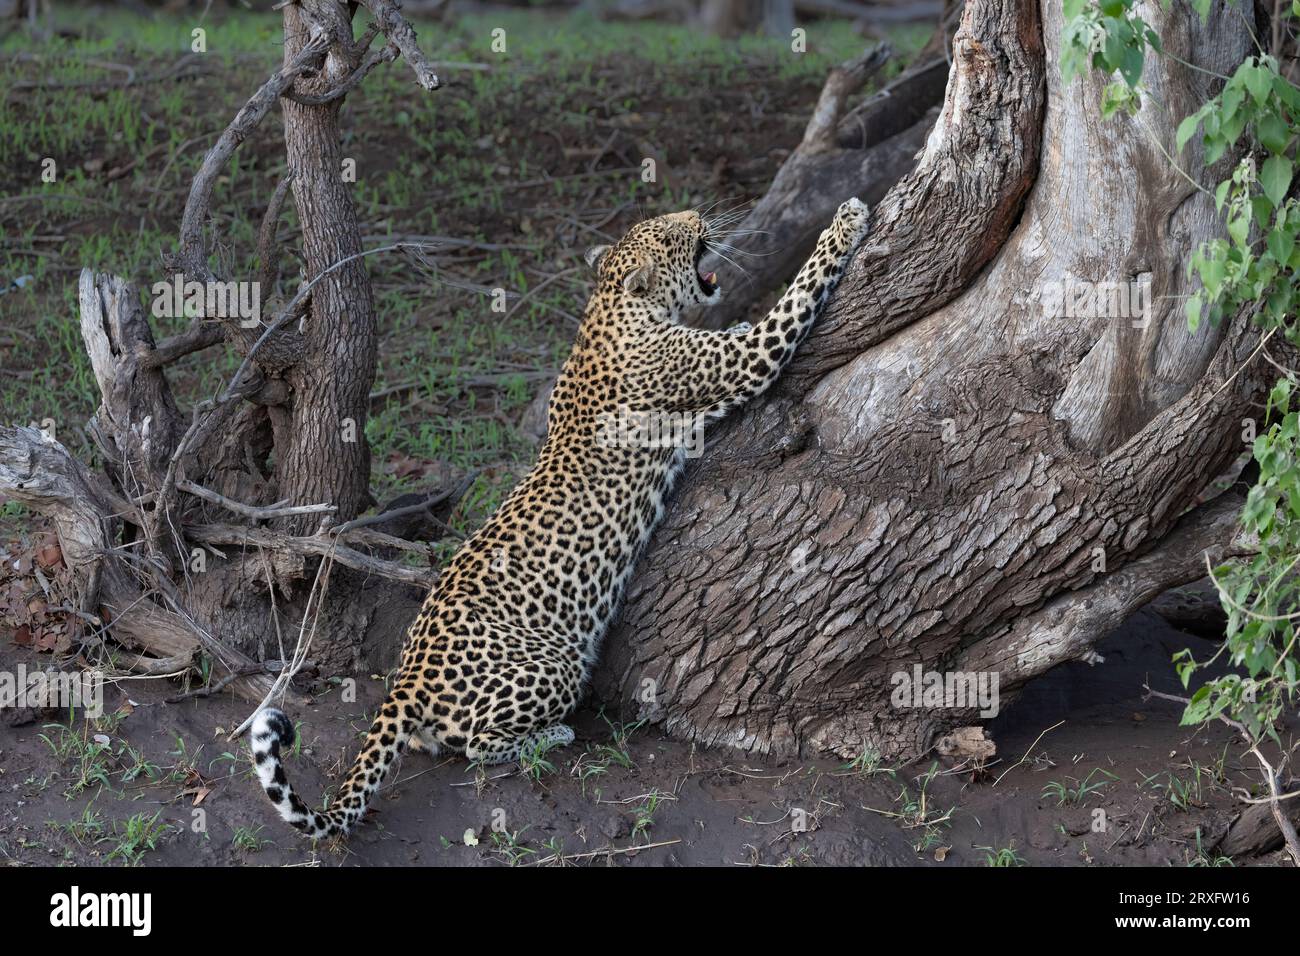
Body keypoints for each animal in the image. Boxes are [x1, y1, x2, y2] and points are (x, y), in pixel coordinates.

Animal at [251, 196, 873, 838]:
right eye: (669, 235)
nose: (697, 215)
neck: (608, 306)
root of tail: (406, 682)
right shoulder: (741, 366)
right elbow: (793, 300)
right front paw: (846, 222)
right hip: (557, 667)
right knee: (479, 745)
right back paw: (554, 734)